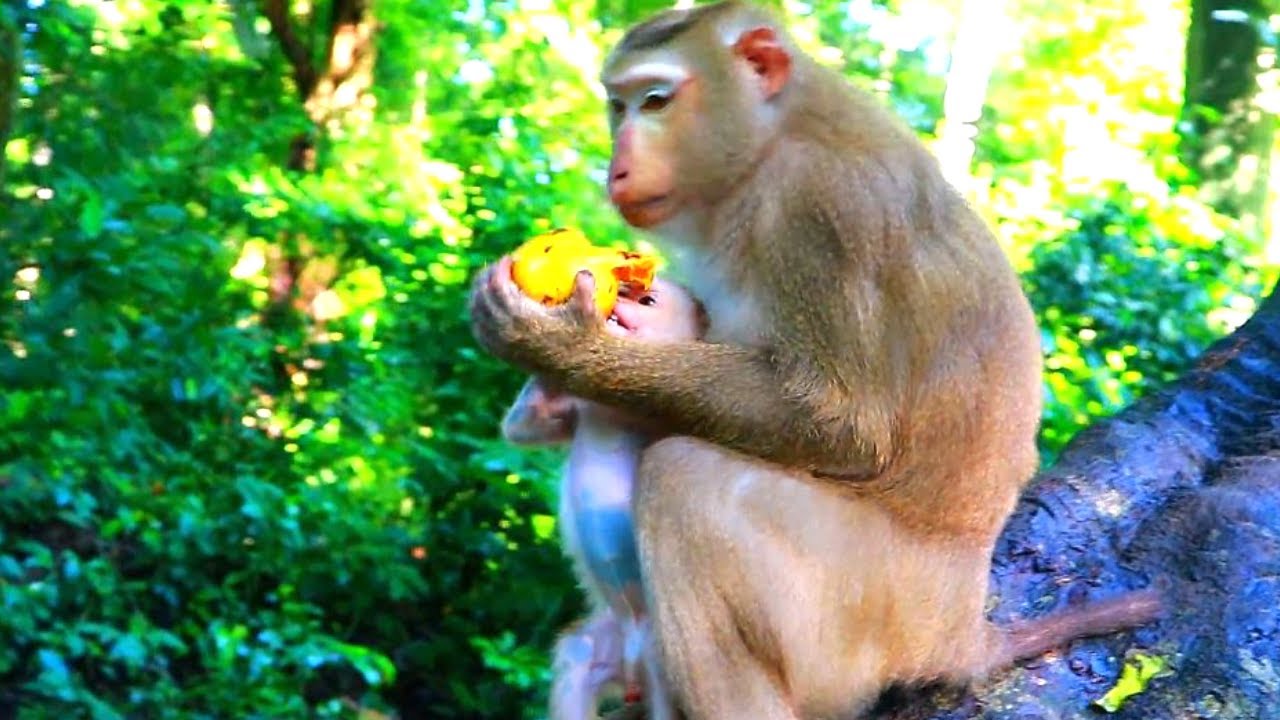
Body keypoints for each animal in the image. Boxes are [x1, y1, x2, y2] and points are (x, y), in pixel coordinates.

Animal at [501, 279, 704, 720]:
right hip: (607, 644)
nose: (618, 305)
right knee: (578, 655)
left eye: (648, 300)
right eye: (627, 292)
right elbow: (525, 426)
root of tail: (632, 665)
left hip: (661, 651)